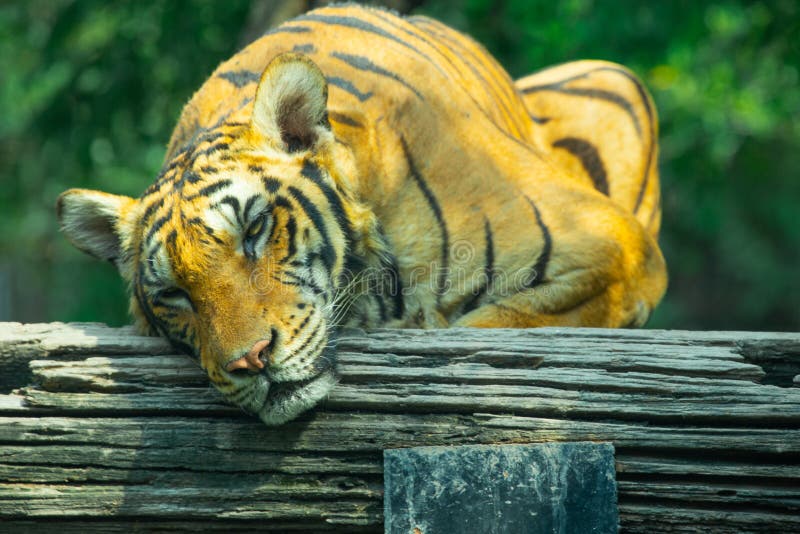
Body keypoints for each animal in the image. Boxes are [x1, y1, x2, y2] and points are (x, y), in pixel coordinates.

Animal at [56, 4, 667, 425]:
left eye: (254, 231)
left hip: (617, 81)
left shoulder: (613, 247)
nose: (250, 361)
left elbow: (495, 322)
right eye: (173, 294)